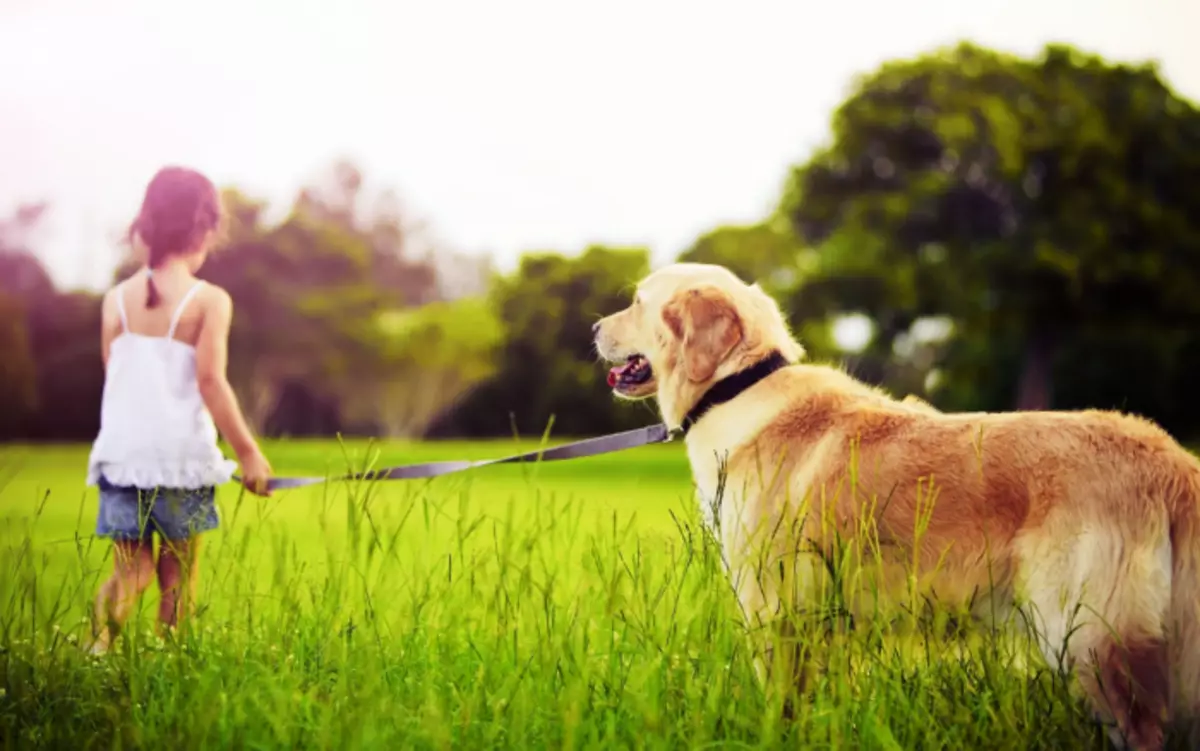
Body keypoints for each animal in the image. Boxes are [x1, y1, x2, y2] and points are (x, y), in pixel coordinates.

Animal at [592, 260, 1200, 743]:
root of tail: (1171, 458)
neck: (736, 386)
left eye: (638, 302)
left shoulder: (774, 609)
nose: (594, 327)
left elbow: (780, 705)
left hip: (1091, 638)